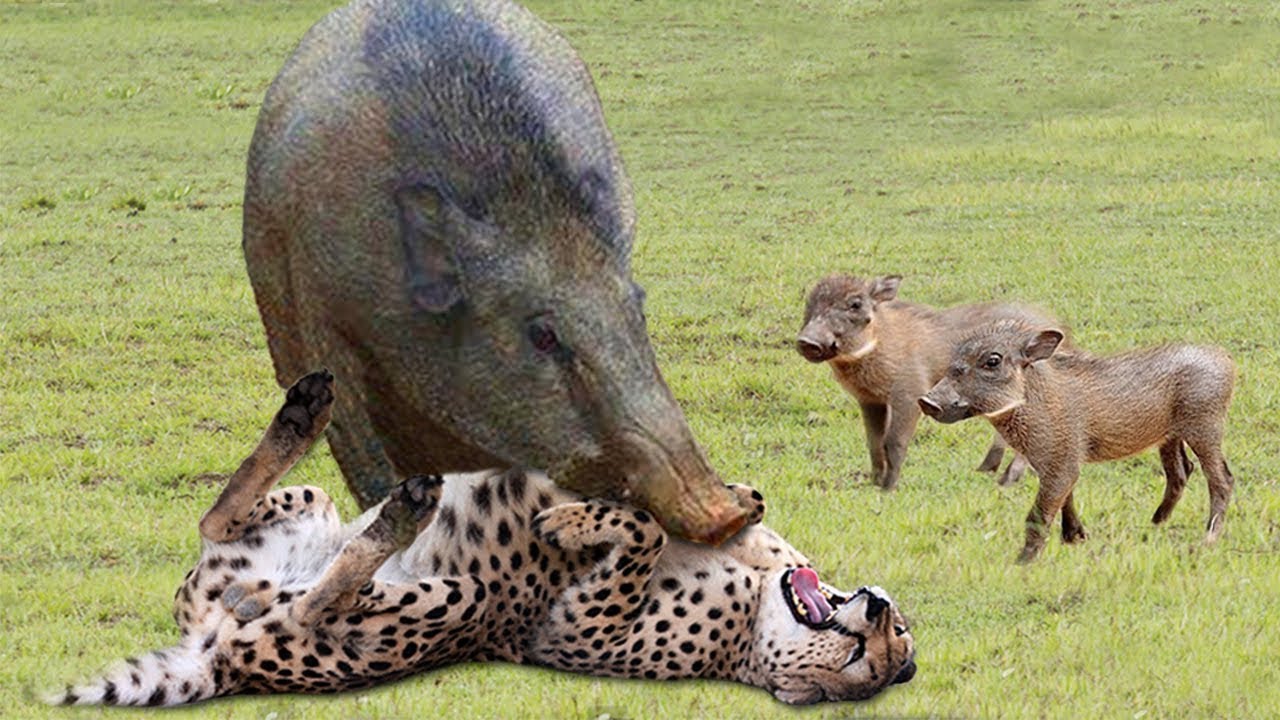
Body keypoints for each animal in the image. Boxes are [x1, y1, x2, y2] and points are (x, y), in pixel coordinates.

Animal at [49, 370, 915, 707]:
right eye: (897, 641)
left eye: (869, 664)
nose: (877, 611)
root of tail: (214, 656)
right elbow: (732, 501)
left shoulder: (573, 629)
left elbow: (633, 532)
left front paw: (565, 520)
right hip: (302, 511)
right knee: (219, 519)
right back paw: (307, 410)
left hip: (450, 604)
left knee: (319, 604)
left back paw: (407, 509)